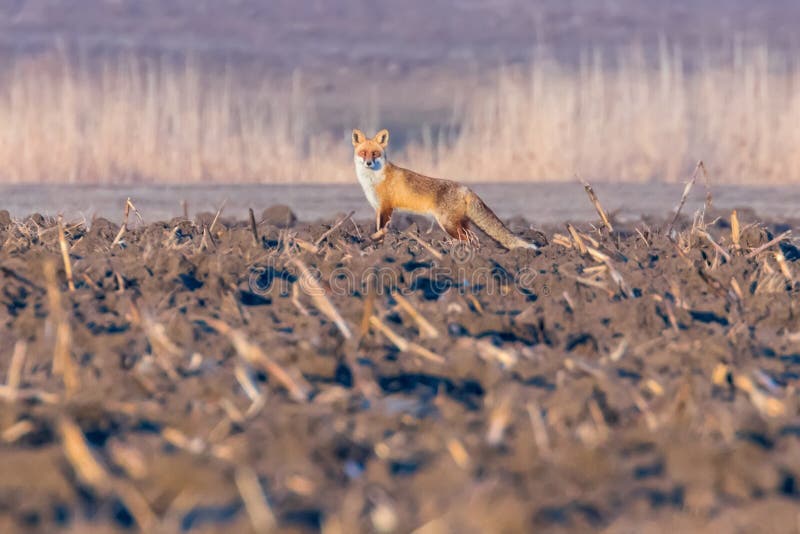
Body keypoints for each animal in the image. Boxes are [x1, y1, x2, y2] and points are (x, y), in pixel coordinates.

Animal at [352, 128, 537, 250]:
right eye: (363, 153)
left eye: (375, 153)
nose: (368, 163)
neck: (374, 180)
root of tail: (465, 188)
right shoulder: (378, 208)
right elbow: (378, 229)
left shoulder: (386, 208)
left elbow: (381, 230)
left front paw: (379, 247)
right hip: (460, 223)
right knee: (474, 238)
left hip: (447, 223)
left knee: (467, 239)